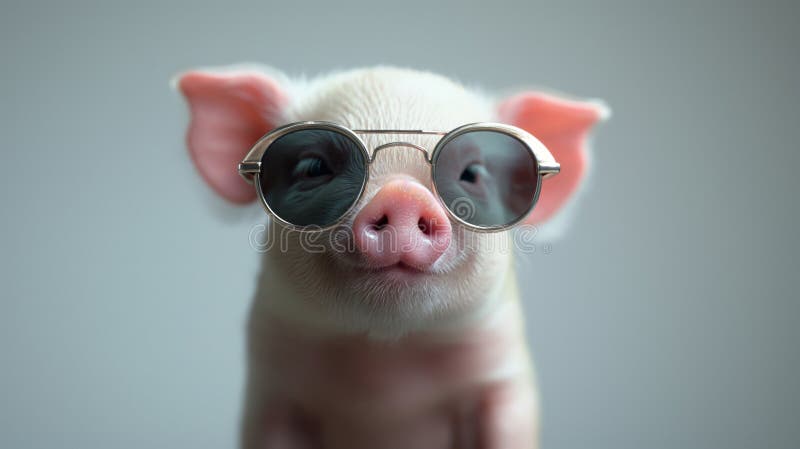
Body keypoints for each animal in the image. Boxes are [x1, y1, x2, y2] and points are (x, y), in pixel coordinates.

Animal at [177, 66, 608, 449]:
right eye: (313, 167)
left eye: (472, 173)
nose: (402, 194)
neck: (386, 377)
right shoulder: (270, 391)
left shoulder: (504, 383)